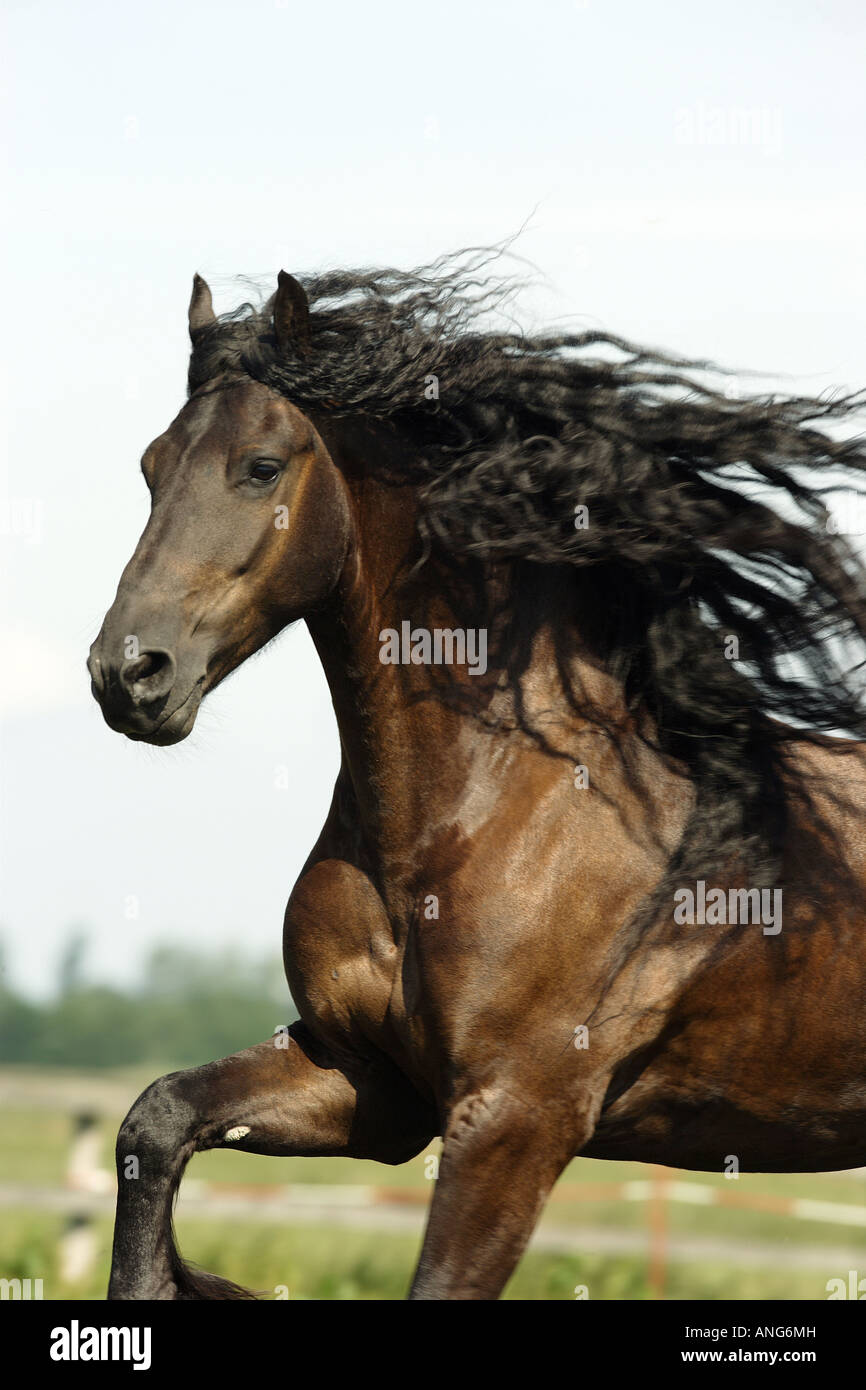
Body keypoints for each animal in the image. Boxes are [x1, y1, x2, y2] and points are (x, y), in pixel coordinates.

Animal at [89, 251, 866, 1300]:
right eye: (150, 467)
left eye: (261, 467)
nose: (127, 674)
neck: (491, 810)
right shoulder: (372, 1083)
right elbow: (157, 1121)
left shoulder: (515, 1118)